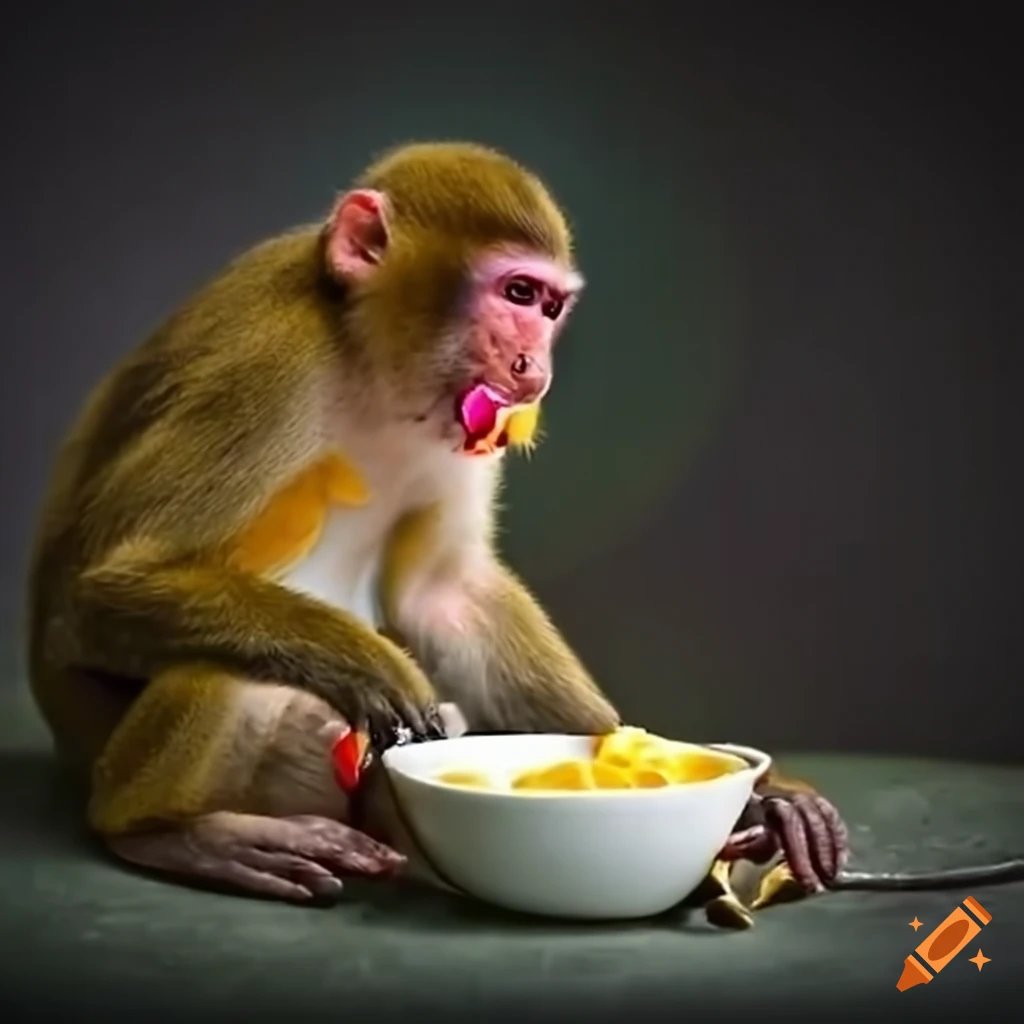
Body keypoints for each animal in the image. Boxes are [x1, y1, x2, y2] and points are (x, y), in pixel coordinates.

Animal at [27, 141, 1012, 915]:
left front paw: (747, 794)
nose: (535, 363)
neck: (369, 362)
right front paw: (368, 663)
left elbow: (445, 594)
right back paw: (166, 833)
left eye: (548, 305)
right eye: (516, 290)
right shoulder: (268, 365)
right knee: (241, 670)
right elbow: (102, 586)